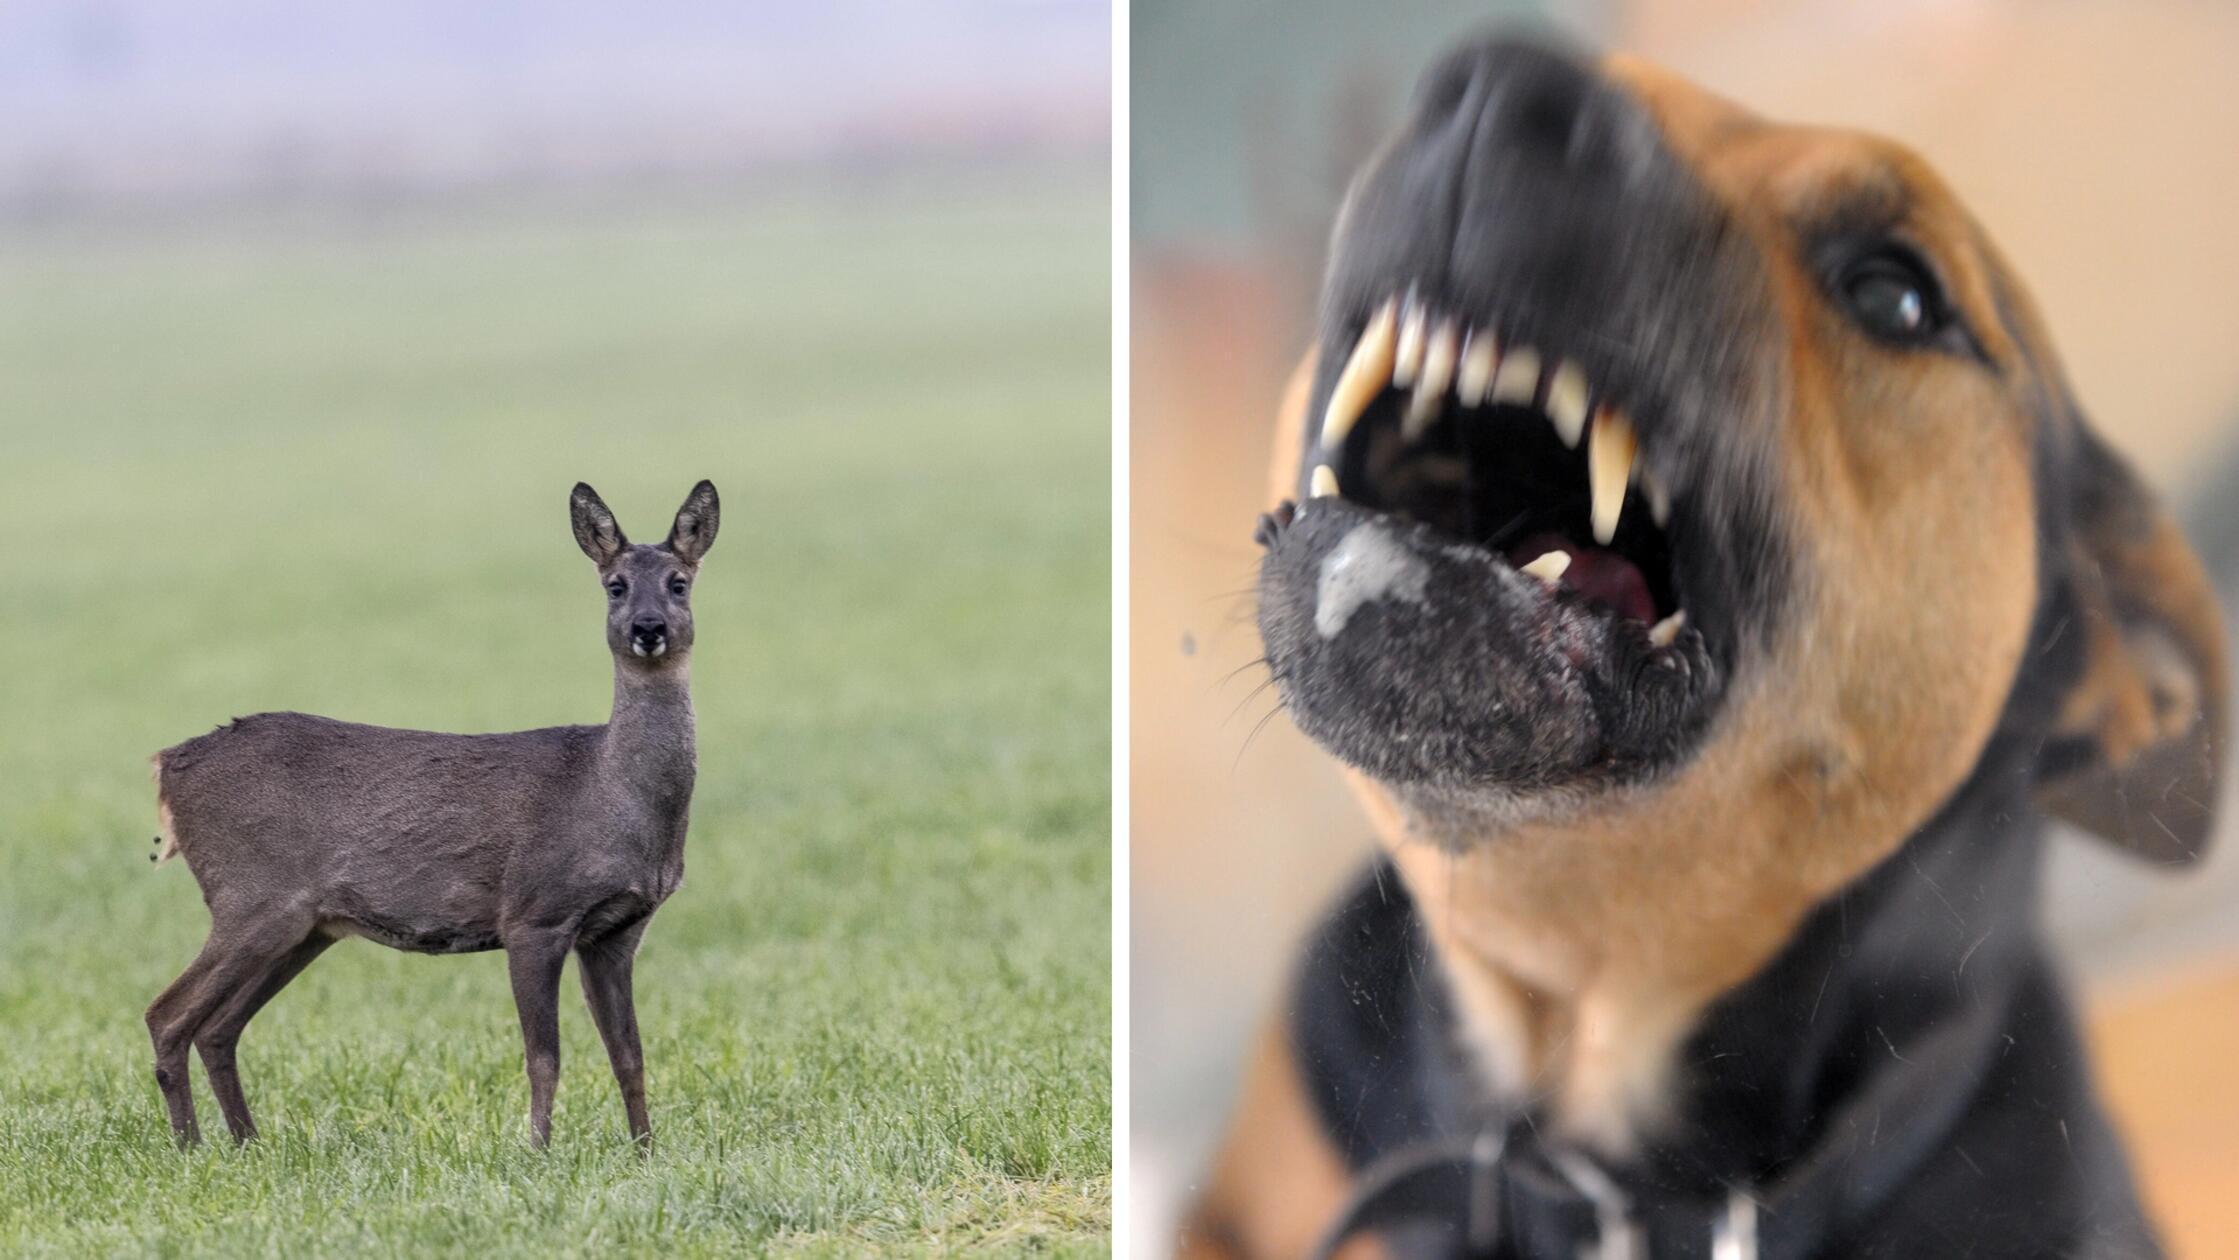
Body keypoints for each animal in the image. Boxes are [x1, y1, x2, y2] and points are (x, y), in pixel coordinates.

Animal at [144, 479, 718, 1150]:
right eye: (615, 584)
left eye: (679, 581)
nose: (648, 628)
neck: (610, 794)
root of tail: (168, 765)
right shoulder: (534, 911)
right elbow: (543, 1056)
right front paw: (538, 1150)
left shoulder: (617, 931)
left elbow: (630, 1055)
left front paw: (645, 1151)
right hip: (251, 897)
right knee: (166, 1014)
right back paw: (192, 1146)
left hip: (304, 927)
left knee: (217, 1027)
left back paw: (245, 1143)